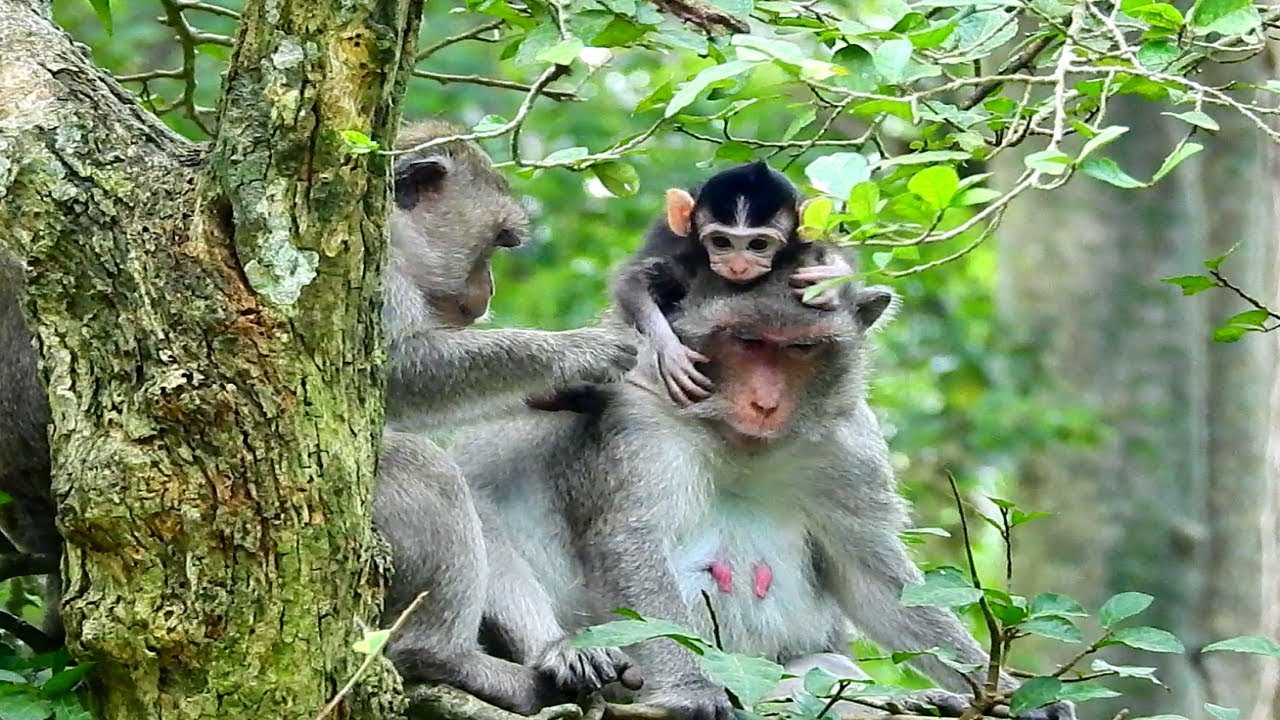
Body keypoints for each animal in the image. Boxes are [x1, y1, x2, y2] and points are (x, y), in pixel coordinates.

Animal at [448, 249, 1075, 720]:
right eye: (746, 341)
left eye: (801, 347)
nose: (766, 403)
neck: (739, 442)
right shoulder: (636, 416)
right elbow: (629, 543)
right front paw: (690, 689)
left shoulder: (849, 444)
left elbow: (873, 579)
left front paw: (1005, 693)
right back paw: (562, 655)